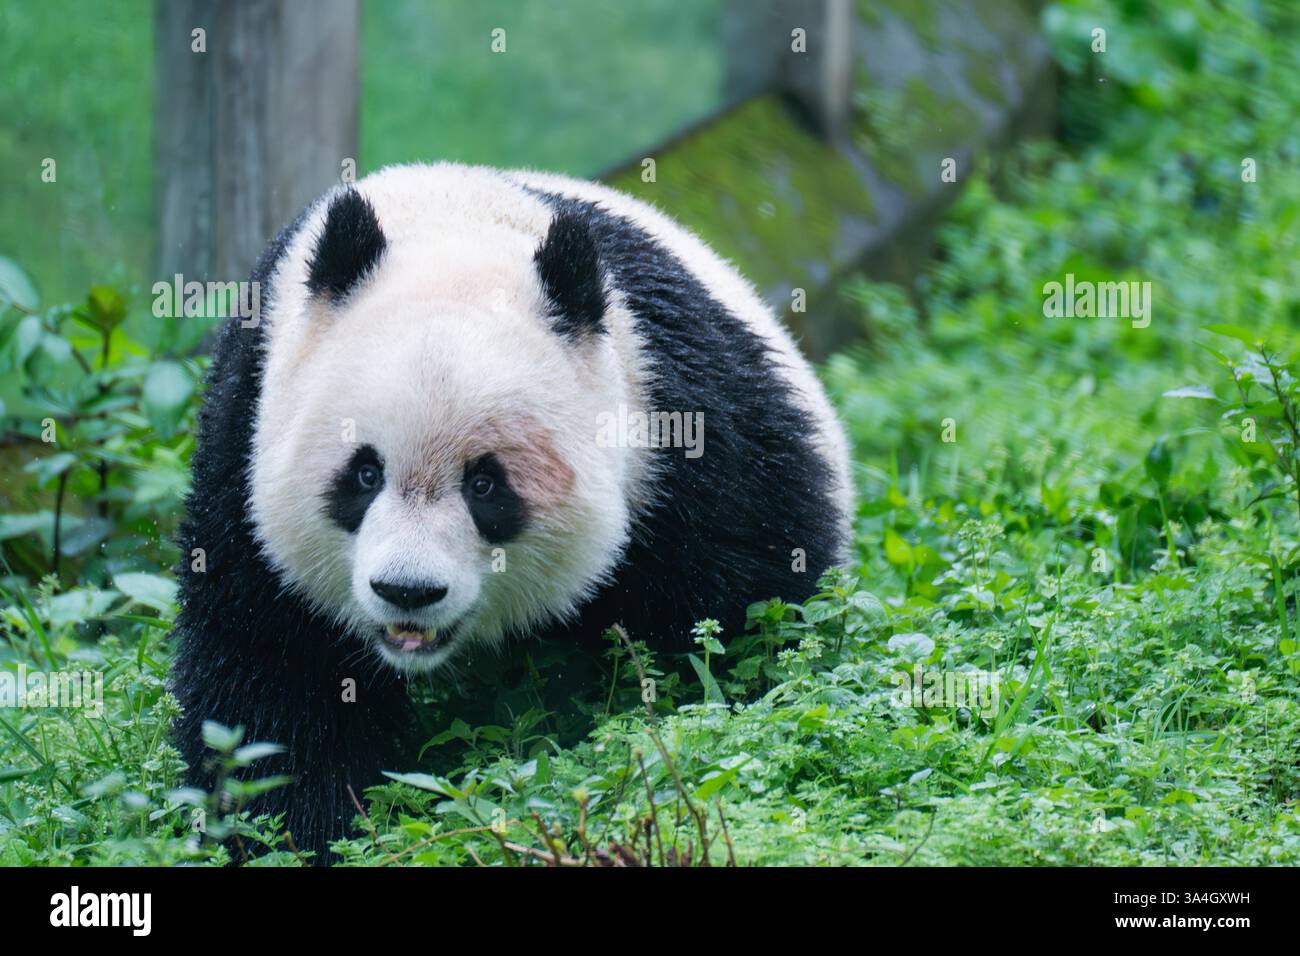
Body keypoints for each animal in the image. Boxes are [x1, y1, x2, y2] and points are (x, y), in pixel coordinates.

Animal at [170, 162, 853, 860]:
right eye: (364, 474)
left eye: (486, 485)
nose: (407, 591)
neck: (451, 223)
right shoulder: (245, 427)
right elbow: (270, 669)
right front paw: (307, 831)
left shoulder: (689, 428)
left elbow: (732, 623)